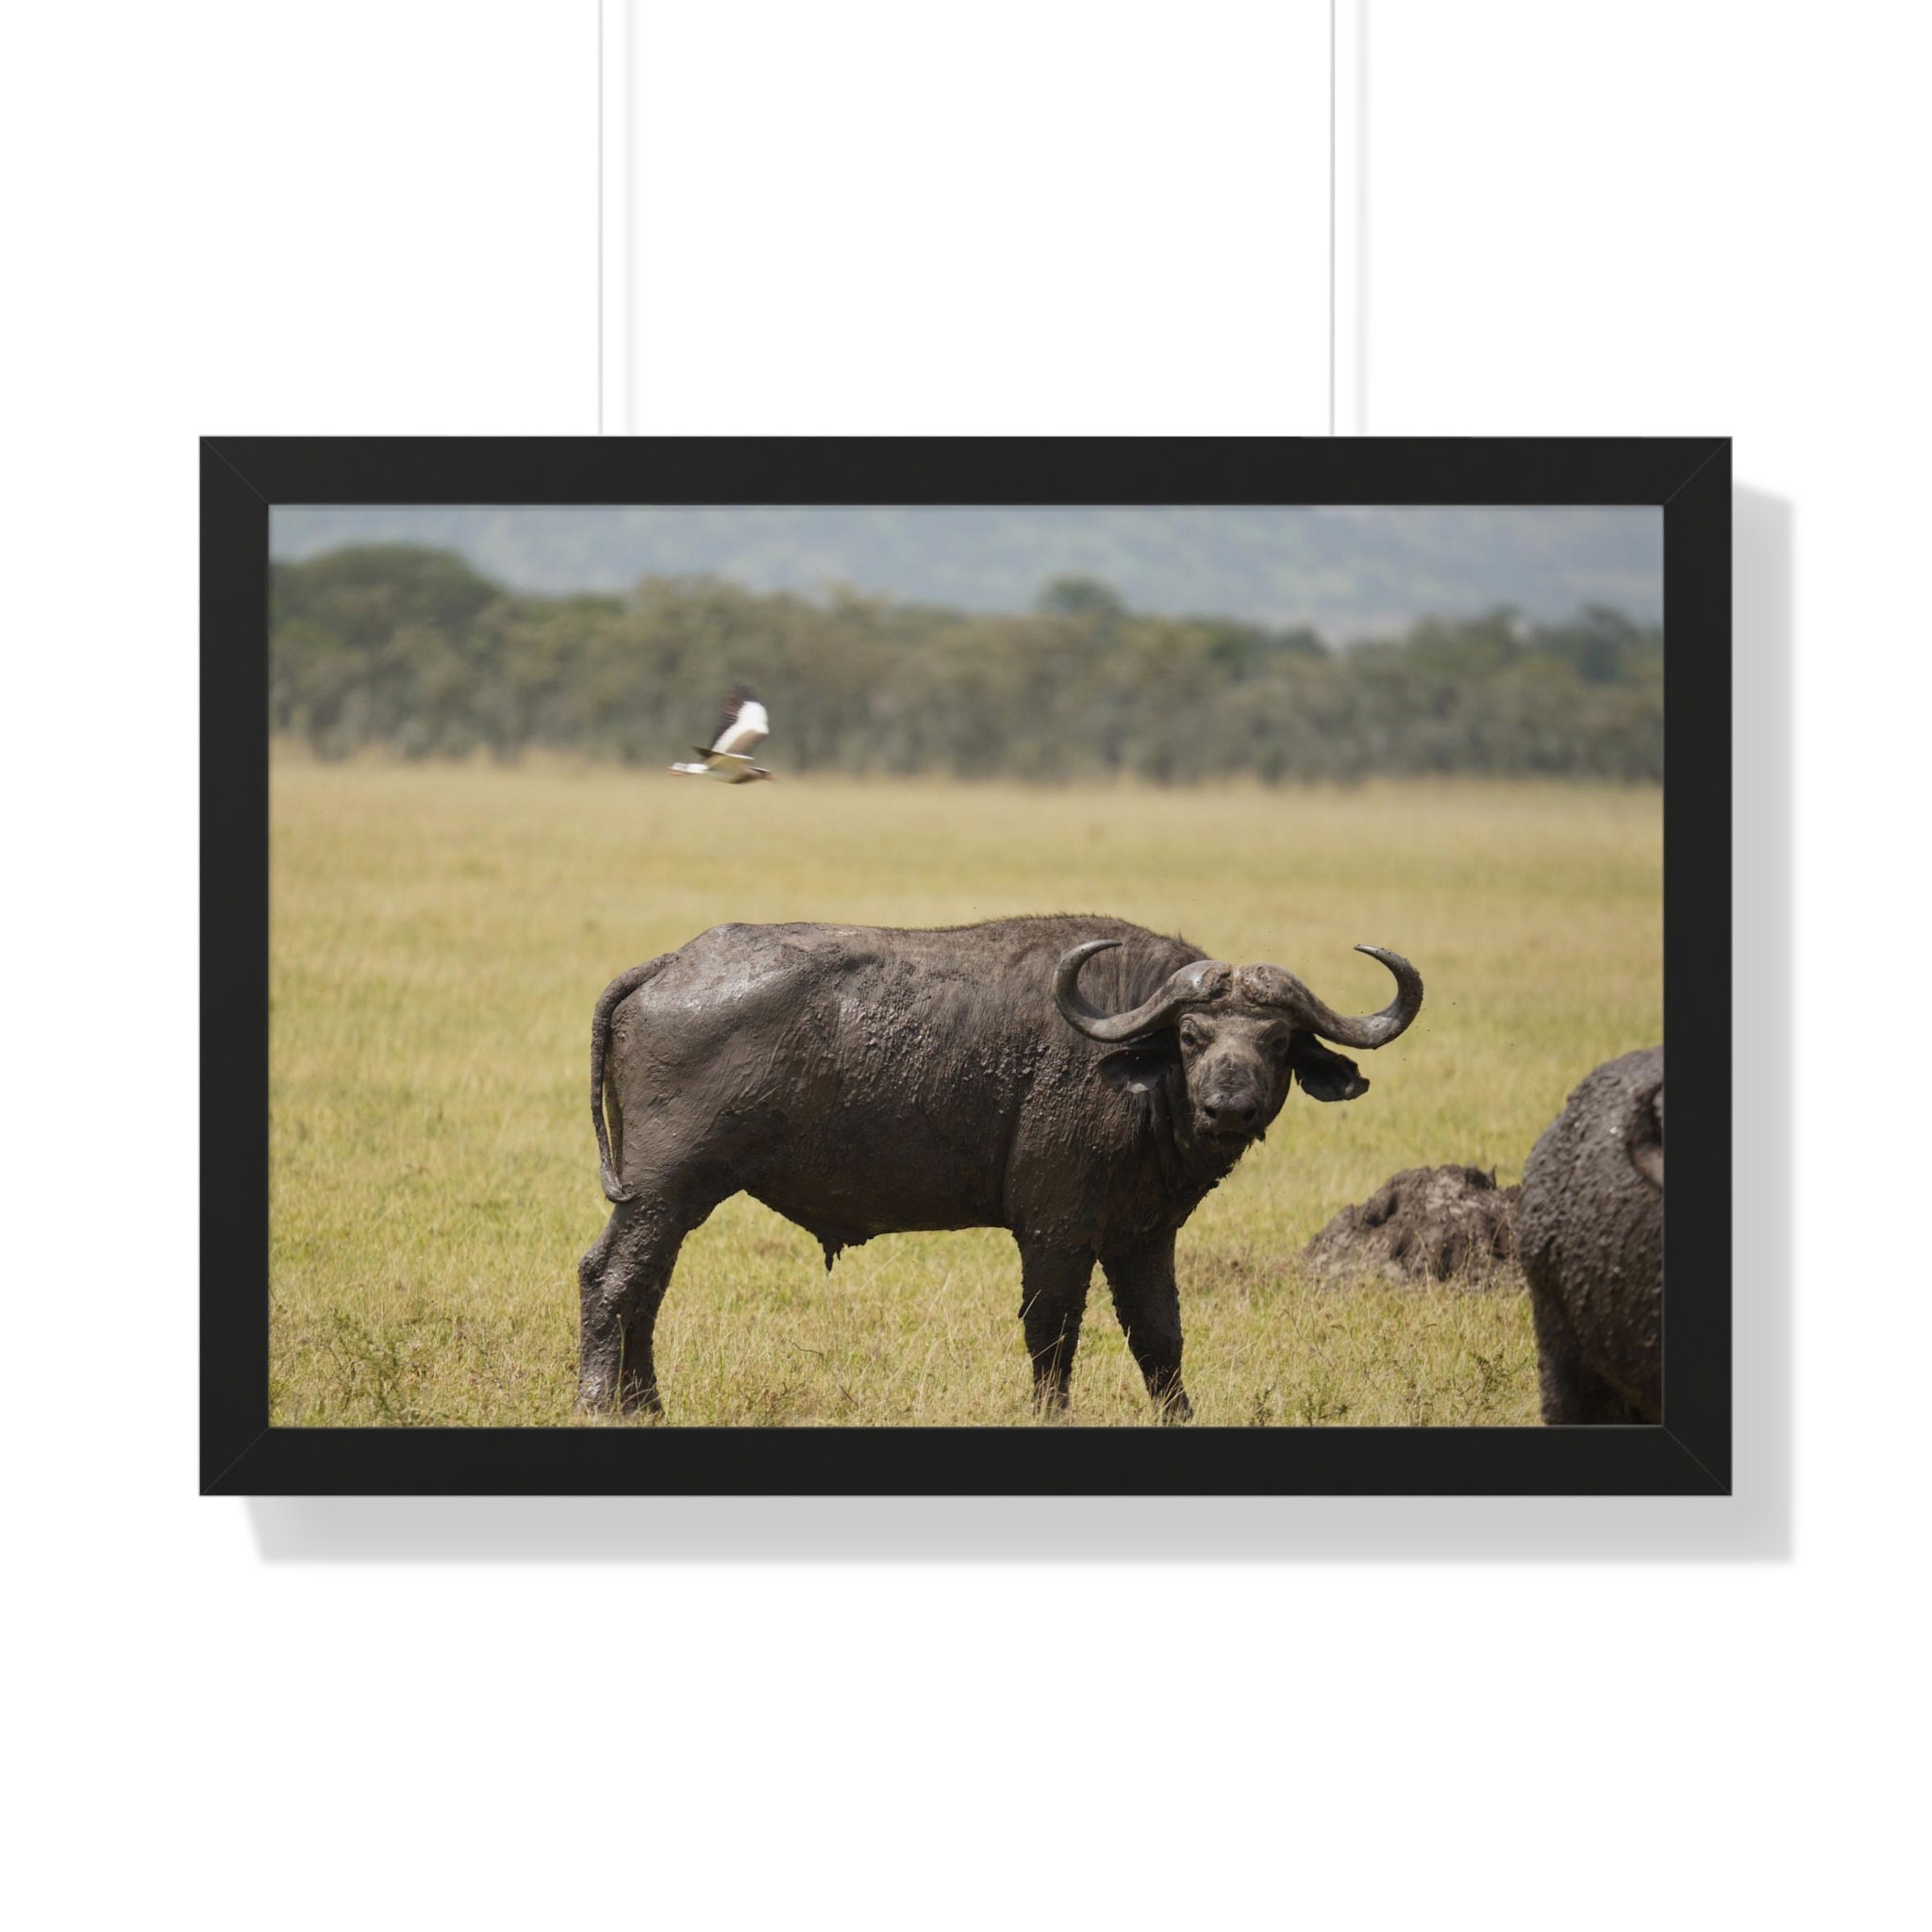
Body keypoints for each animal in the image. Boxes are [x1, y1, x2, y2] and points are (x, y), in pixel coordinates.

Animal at [578, 915, 1423, 1420]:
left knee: (644, 1288)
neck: (1132, 1071)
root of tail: (673, 963)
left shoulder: (1143, 1236)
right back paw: (600, 1403)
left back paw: (646, 1406)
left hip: (670, 1200)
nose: (1228, 1107)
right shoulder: (1054, 1230)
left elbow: (1160, 1336)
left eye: (1276, 1042)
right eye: (1192, 1037)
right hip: (663, 1191)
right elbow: (1053, 1332)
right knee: (613, 1279)